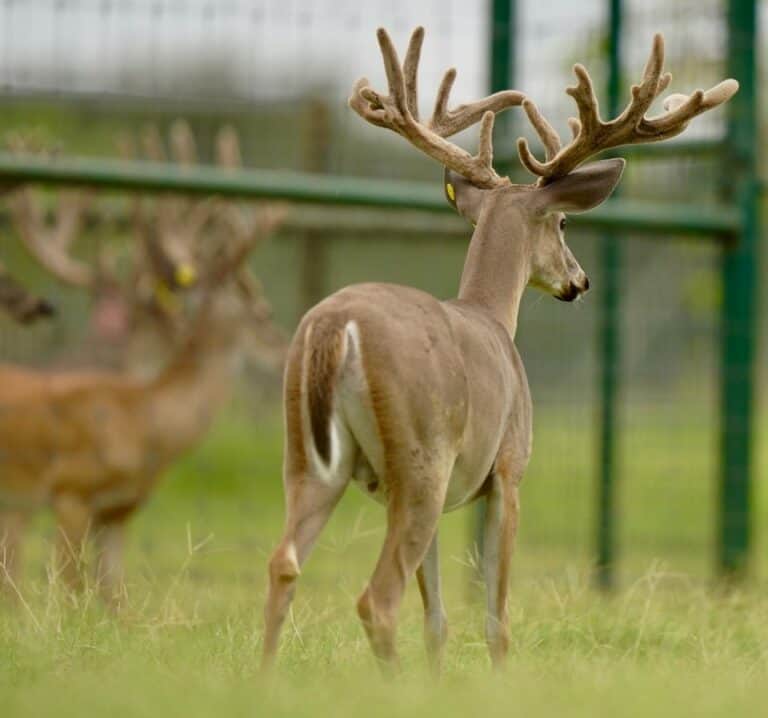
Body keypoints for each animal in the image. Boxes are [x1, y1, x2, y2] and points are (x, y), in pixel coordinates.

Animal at [0, 206, 284, 609]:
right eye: (264, 312)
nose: (284, 348)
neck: (140, 420)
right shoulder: (69, 491)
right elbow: (70, 591)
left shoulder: (117, 512)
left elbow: (115, 599)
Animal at [261, 27, 738, 673]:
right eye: (563, 224)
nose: (580, 281)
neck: (490, 314)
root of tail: (338, 329)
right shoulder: (509, 467)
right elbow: (497, 617)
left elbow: (437, 619)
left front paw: (440, 681)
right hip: (419, 454)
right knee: (375, 598)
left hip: (310, 456)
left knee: (283, 565)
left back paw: (261, 680)